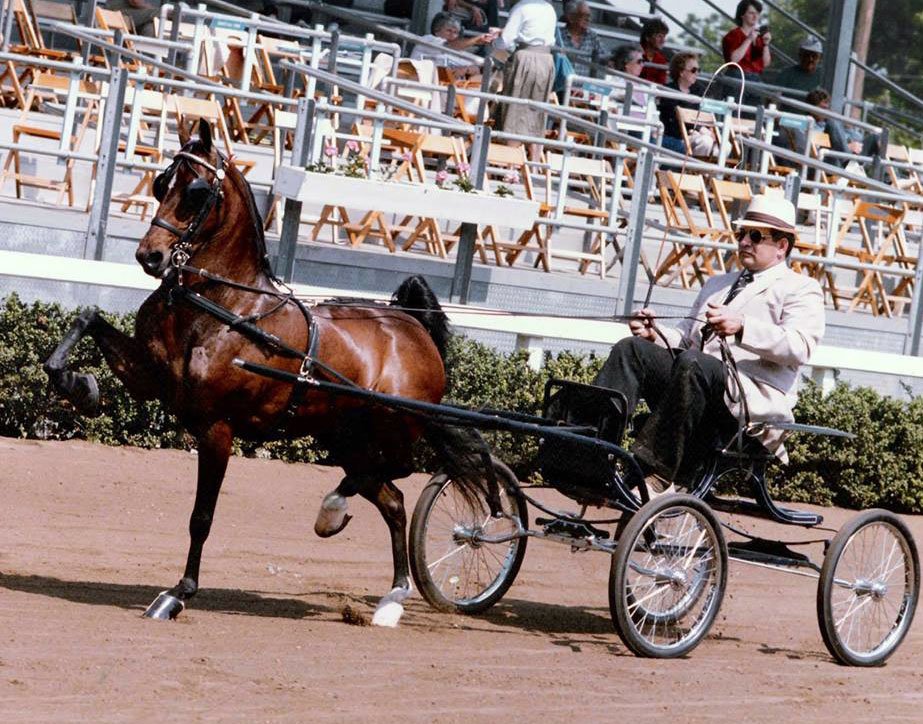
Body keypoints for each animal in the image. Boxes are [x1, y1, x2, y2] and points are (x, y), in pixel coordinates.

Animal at [43, 118, 495, 626]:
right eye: (161, 184)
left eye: (197, 192)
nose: (150, 257)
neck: (225, 308)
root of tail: (410, 326)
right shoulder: (149, 377)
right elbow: (87, 318)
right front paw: (77, 384)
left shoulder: (216, 427)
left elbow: (202, 517)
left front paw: (178, 593)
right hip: (345, 437)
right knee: (392, 500)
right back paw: (392, 597)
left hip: (390, 428)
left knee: (393, 472)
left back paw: (333, 512)